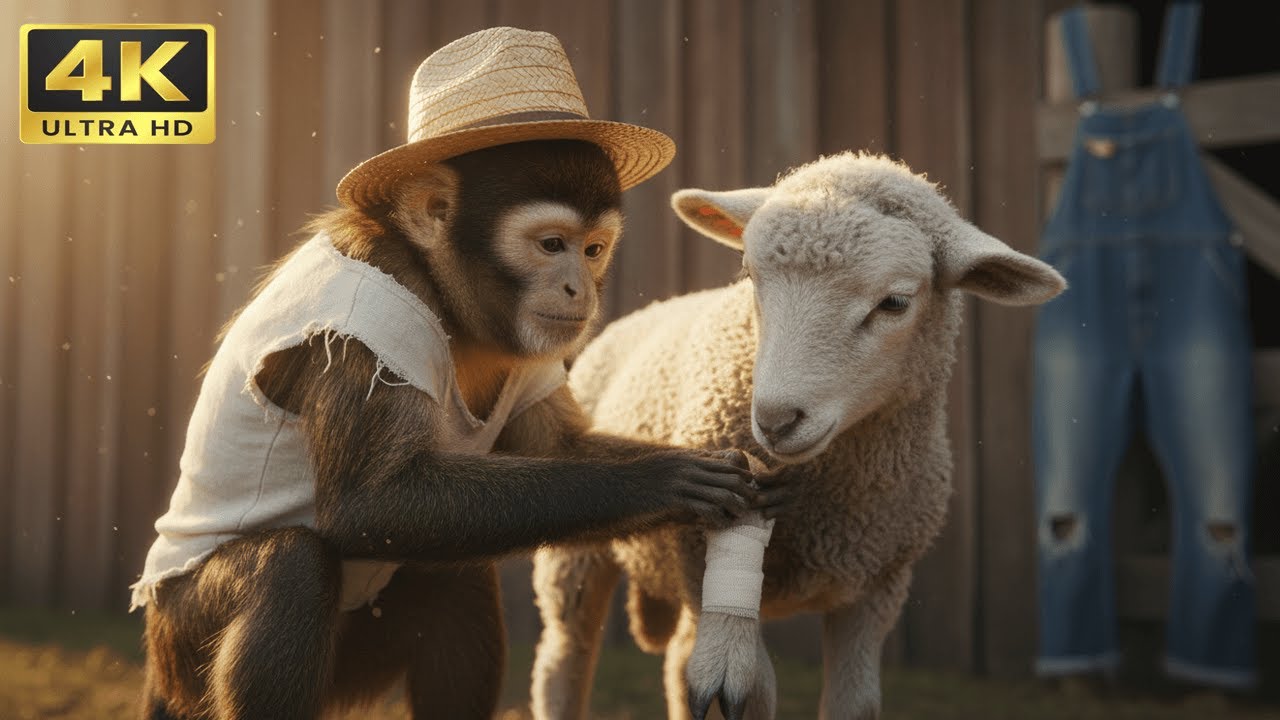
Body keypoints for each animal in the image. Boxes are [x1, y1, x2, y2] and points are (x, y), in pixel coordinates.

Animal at [134, 140, 788, 720]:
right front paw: (665, 482)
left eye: (593, 249)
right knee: (289, 566)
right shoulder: (367, 314)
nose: (579, 287)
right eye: (552, 246)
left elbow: (559, 447)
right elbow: (366, 507)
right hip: (182, 648)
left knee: (455, 571)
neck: (440, 291)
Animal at [530, 152, 1065, 720]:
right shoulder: (700, 564)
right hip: (577, 555)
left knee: (677, 660)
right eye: (749, 274)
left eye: (895, 302)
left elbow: (854, 703)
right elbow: (754, 692)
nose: (776, 420)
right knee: (566, 654)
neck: (828, 501)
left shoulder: (878, 589)